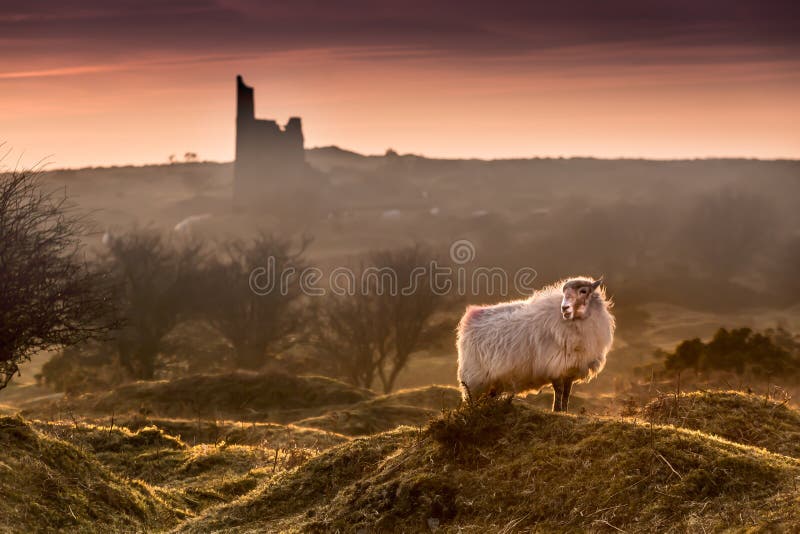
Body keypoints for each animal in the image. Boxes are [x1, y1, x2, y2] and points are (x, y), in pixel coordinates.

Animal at [456, 277, 615, 412]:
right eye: (564, 293)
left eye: (583, 291)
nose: (564, 308)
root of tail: (471, 316)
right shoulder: (554, 365)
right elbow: (559, 391)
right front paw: (557, 410)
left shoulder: (570, 368)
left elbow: (567, 393)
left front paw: (565, 411)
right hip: (475, 378)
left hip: (492, 382)